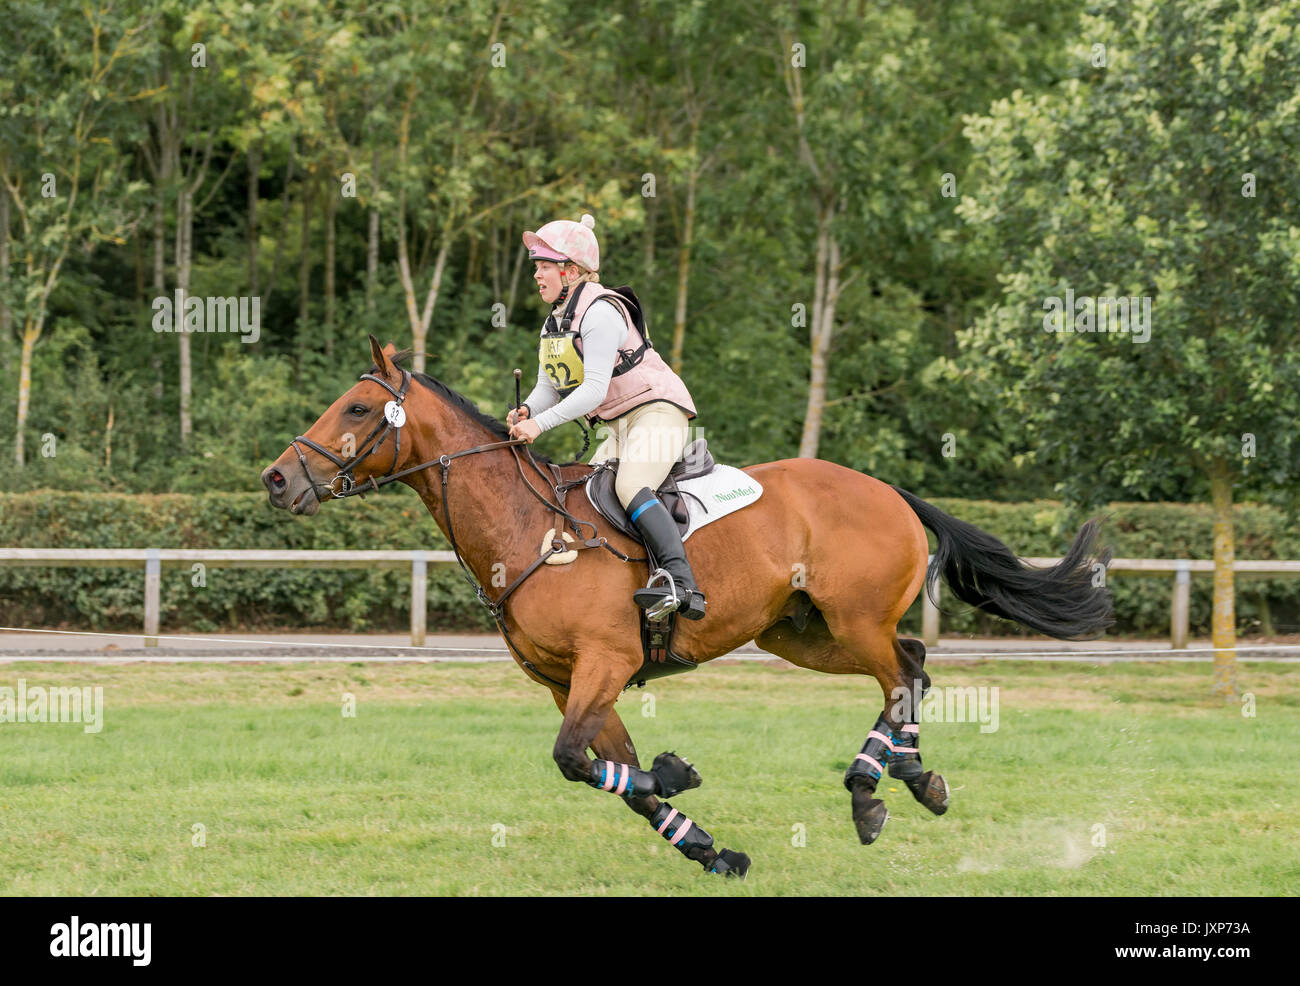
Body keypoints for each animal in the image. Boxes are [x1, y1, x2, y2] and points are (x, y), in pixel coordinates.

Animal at [261, 336, 1113, 878]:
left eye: (358, 410)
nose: (276, 479)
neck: (527, 528)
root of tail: (889, 491)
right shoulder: (569, 682)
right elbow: (609, 771)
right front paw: (707, 842)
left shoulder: (606, 662)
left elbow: (574, 761)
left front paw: (675, 778)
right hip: (803, 635)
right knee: (913, 666)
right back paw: (911, 774)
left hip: (854, 620)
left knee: (902, 673)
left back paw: (871, 789)